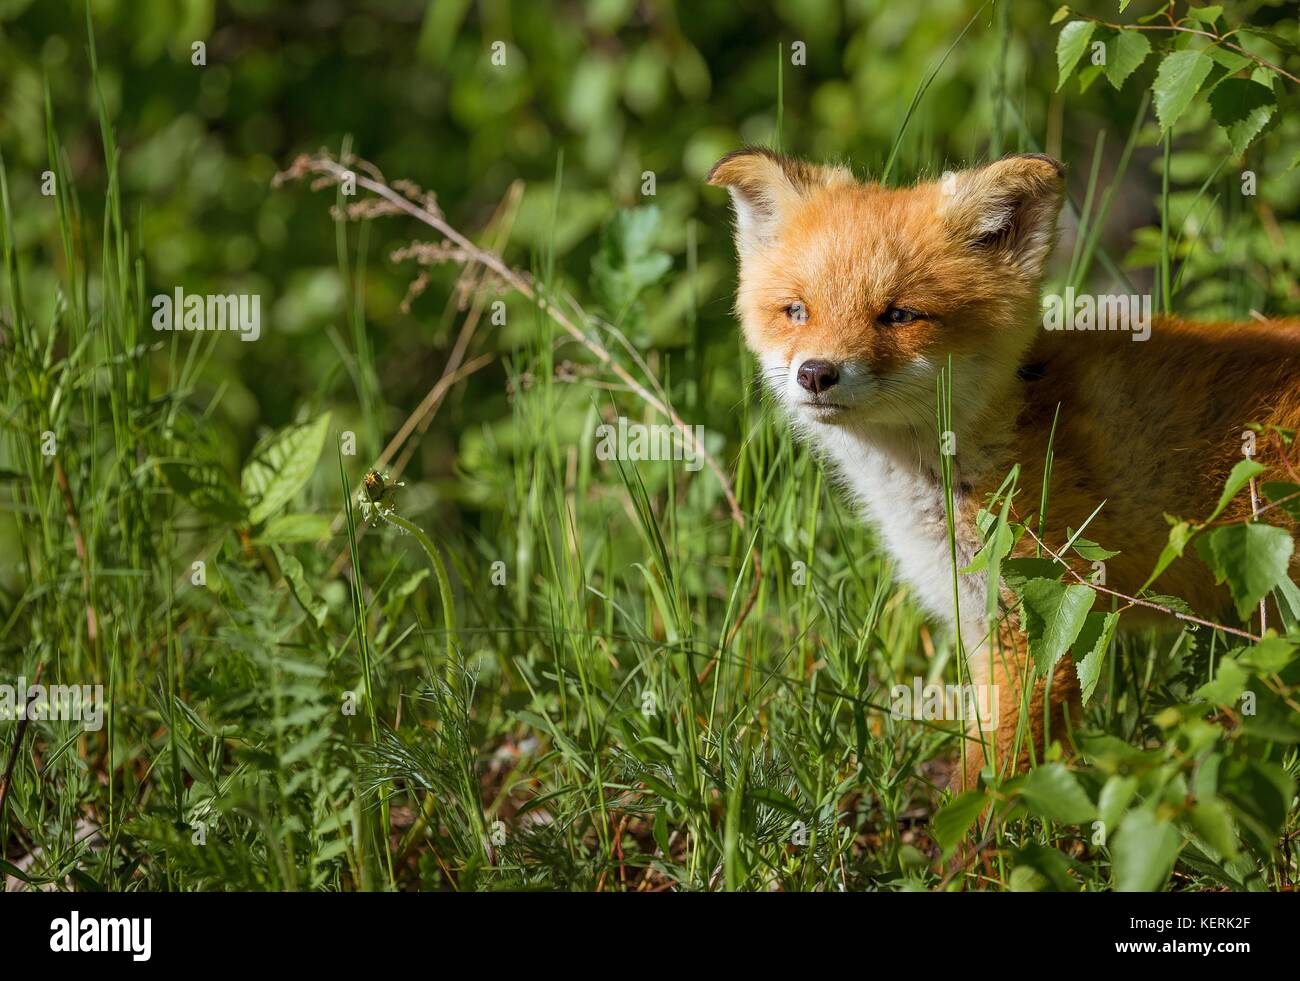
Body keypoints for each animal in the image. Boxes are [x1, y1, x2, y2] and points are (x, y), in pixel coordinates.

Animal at [708, 147, 1300, 790]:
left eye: (899, 315)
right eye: (797, 310)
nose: (816, 373)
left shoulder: (1048, 615)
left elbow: (993, 780)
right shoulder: (979, 616)